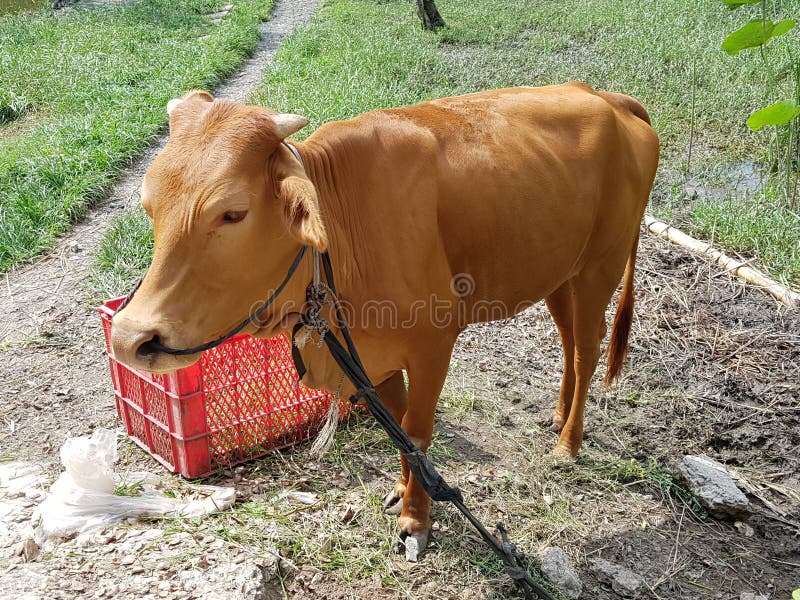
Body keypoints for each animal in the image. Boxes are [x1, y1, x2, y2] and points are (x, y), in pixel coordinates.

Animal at [111, 83, 659, 558]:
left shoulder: (434, 343)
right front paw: (400, 490)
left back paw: (568, 443)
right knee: (568, 344)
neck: (343, 238)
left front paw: (417, 520)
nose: (130, 338)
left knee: (586, 351)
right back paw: (557, 416)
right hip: (558, 274)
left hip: (600, 268)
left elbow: (415, 434)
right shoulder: (371, 357)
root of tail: (607, 97)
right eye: (150, 205)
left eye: (232, 213)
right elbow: (396, 428)